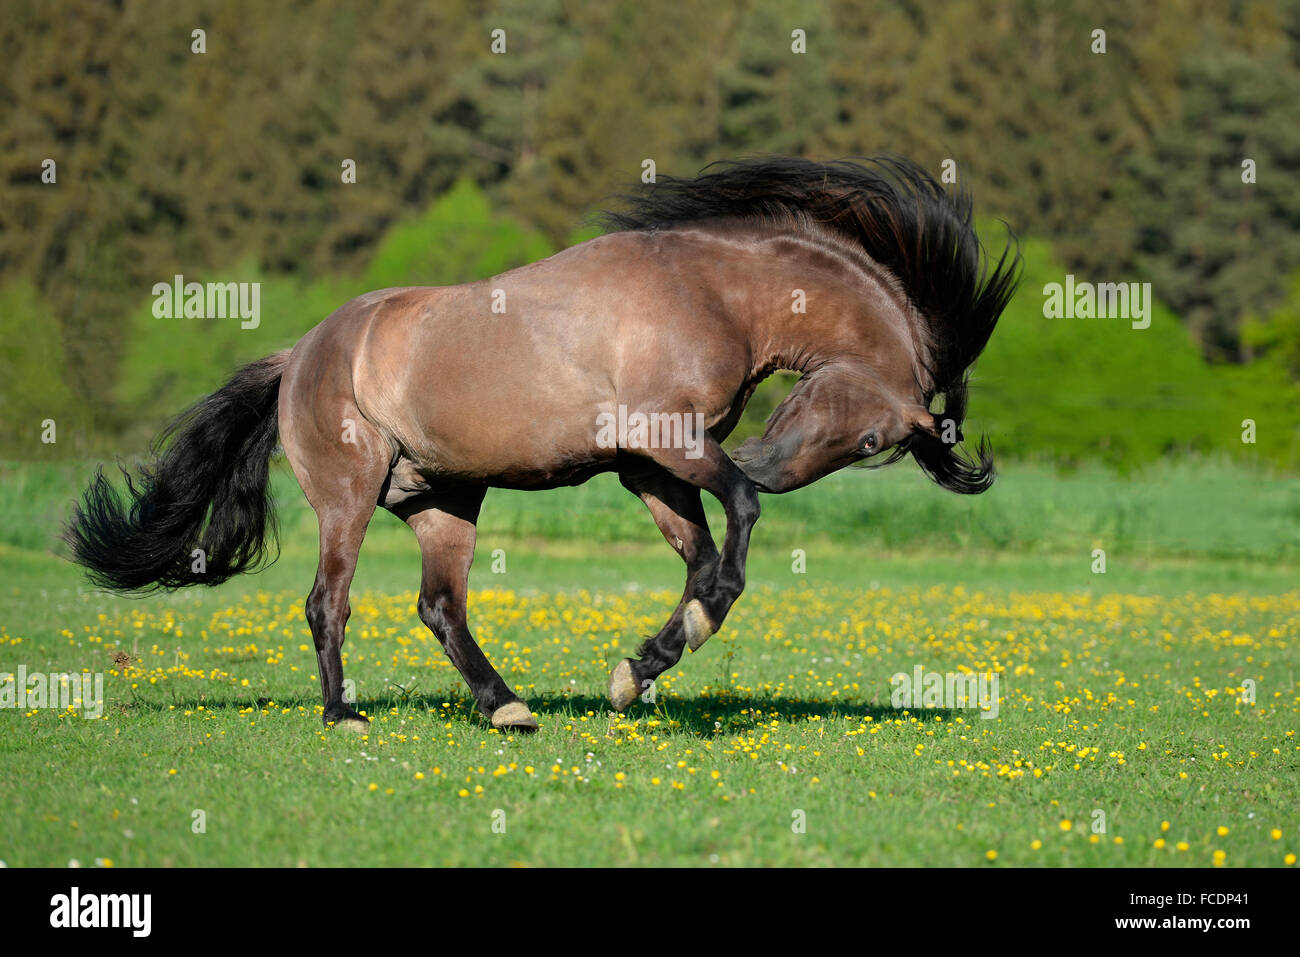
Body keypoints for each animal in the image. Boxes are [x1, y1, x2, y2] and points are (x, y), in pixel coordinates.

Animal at [65, 156, 1021, 733]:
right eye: (872, 436)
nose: (770, 464)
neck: (711, 290)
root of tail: (299, 354)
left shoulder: (649, 466)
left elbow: (703, 558)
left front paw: (644, 666)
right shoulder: (666, 443)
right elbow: (735, 527)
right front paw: (670, 644)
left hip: (444, 499)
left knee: (440, 607)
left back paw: (507, 706)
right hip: (349, 497)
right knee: (327, 602)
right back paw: (344, 715)